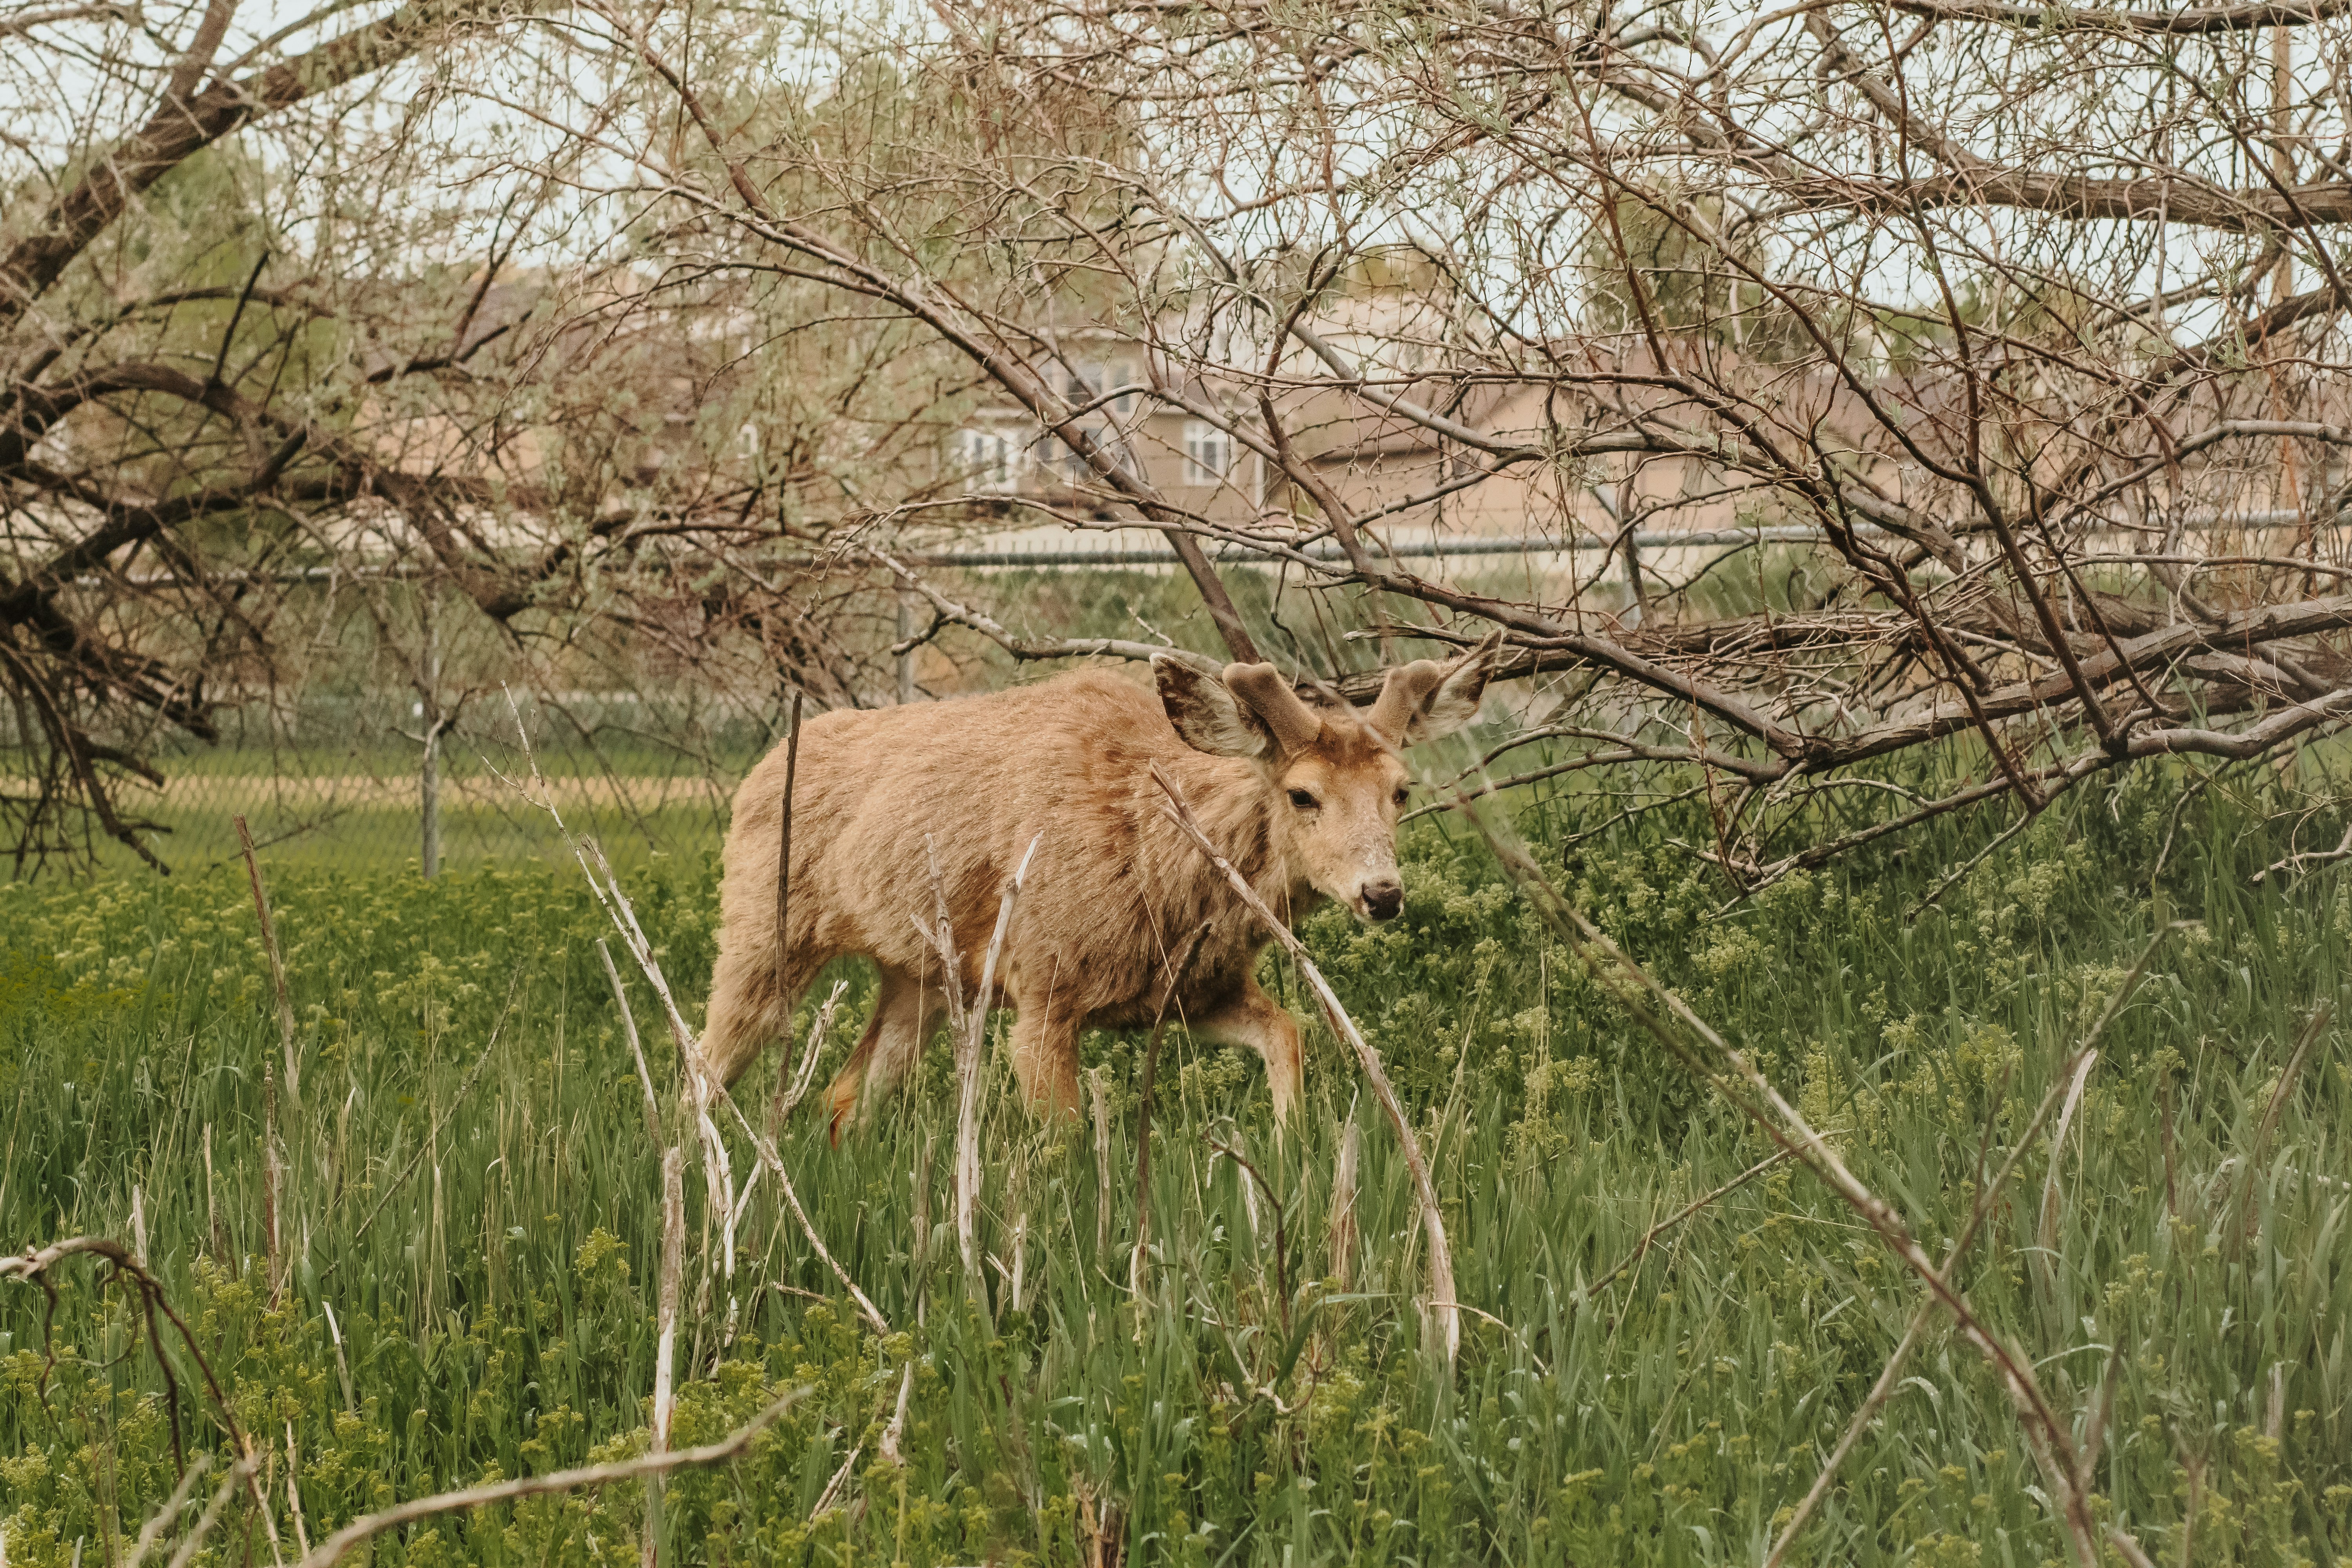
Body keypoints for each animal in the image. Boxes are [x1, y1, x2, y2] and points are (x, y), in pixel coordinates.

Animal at [700, 646, 1492, 1132]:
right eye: (1302, 794)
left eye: (1401, 790)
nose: (1382, 894)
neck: (1156, 850)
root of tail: (762, 768)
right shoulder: (1044, 986)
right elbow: (1067, 1148)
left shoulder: (1186, 991)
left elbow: (1287, 1034)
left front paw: (1288, 1142)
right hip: (762, 931)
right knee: (704, 1067)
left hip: (918, 976)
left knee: (846, 1095)